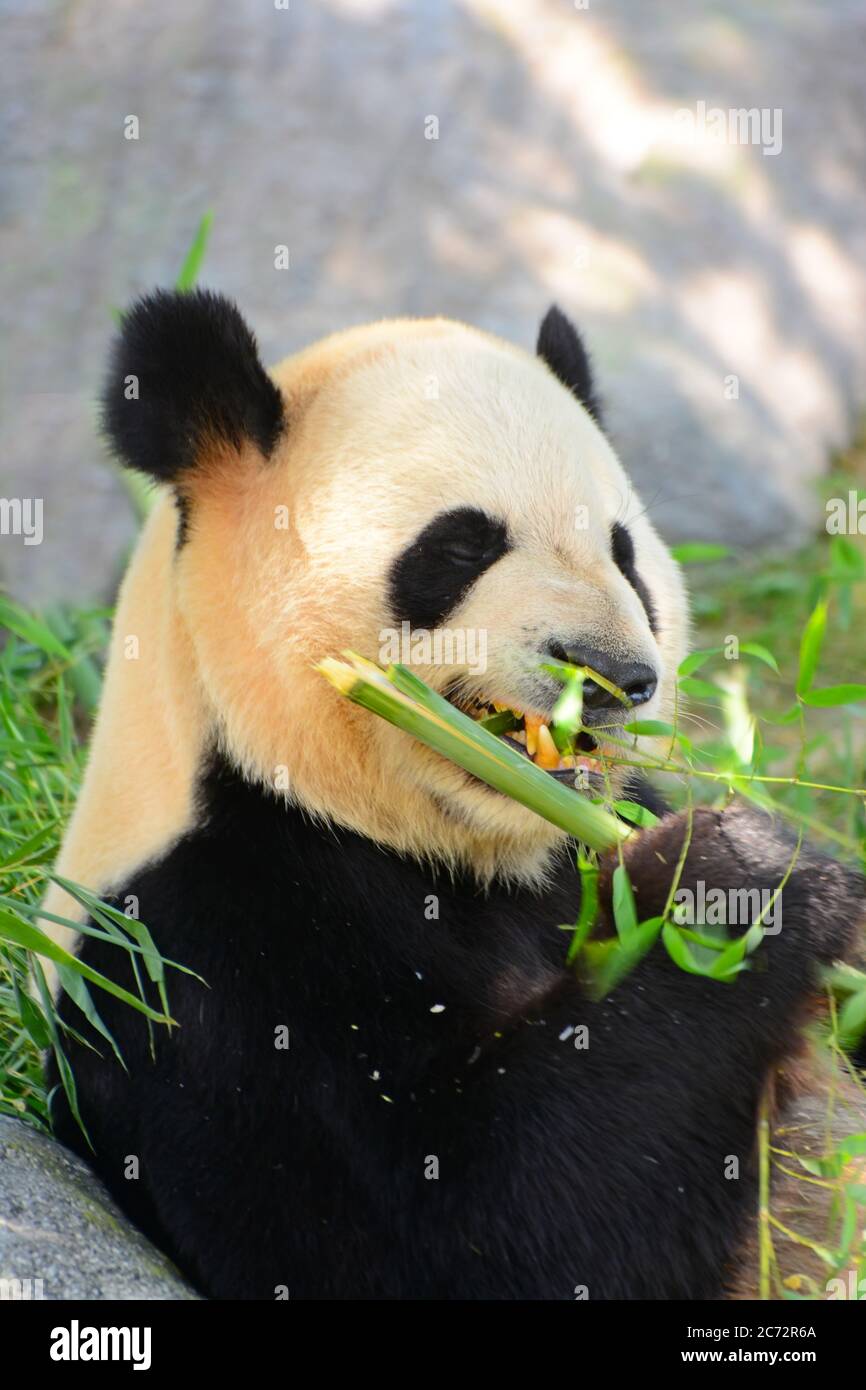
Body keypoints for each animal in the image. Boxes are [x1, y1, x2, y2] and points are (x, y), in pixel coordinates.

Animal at [42, 289, 863, 1301]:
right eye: (464, 545)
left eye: (625, 554)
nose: (613, 676)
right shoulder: (201, 959)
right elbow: (468, 1222)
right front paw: (732, 880)